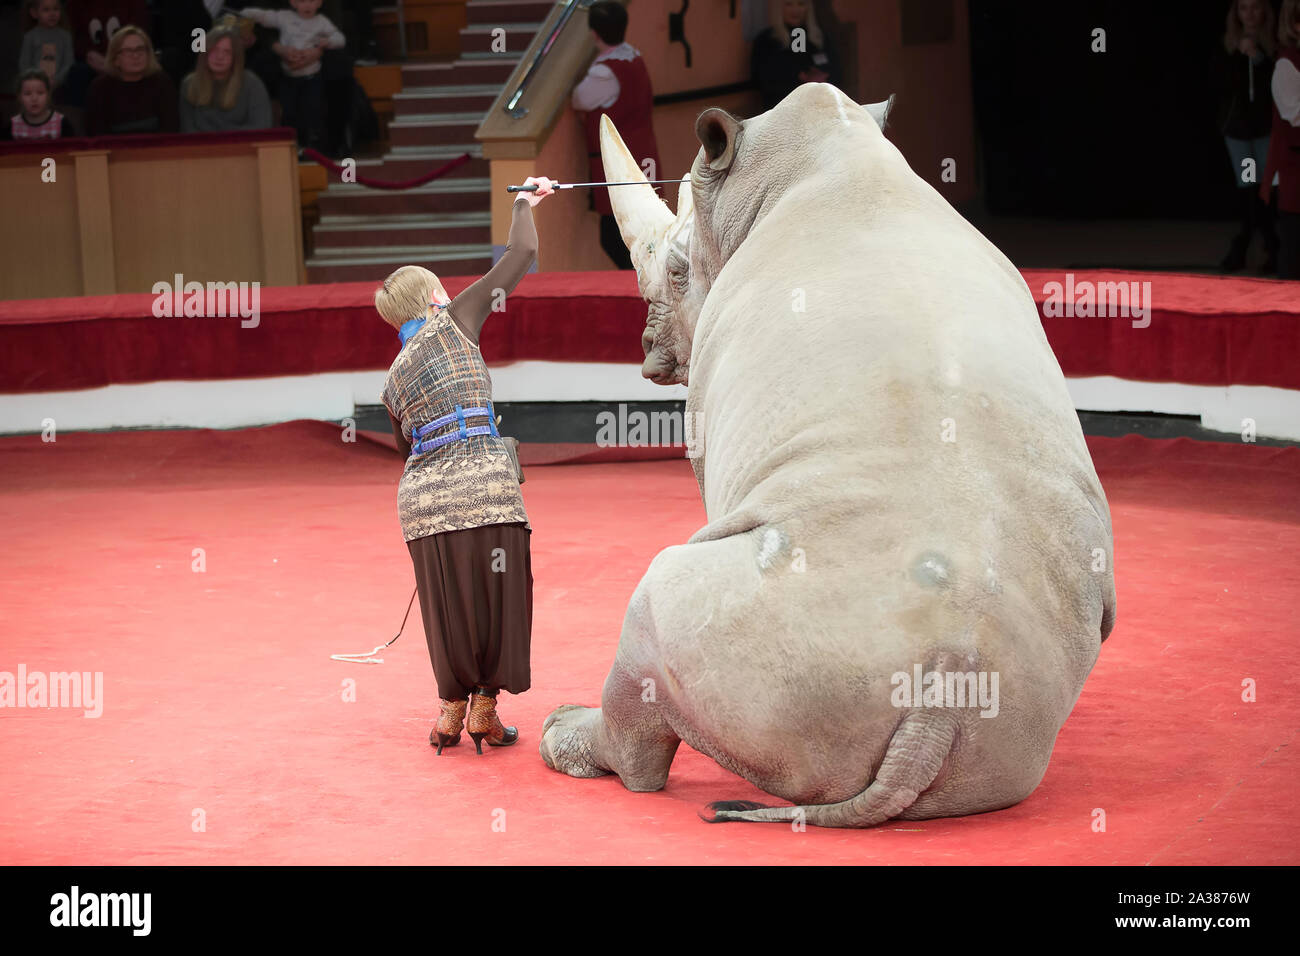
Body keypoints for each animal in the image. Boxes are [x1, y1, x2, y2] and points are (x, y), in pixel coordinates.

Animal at [539, 83, 1116, 827]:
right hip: (1015, 698)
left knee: (655, 603)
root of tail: (938, 700)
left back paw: (565, 737)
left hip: (769, 631)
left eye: (675, 269)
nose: (648, 348)